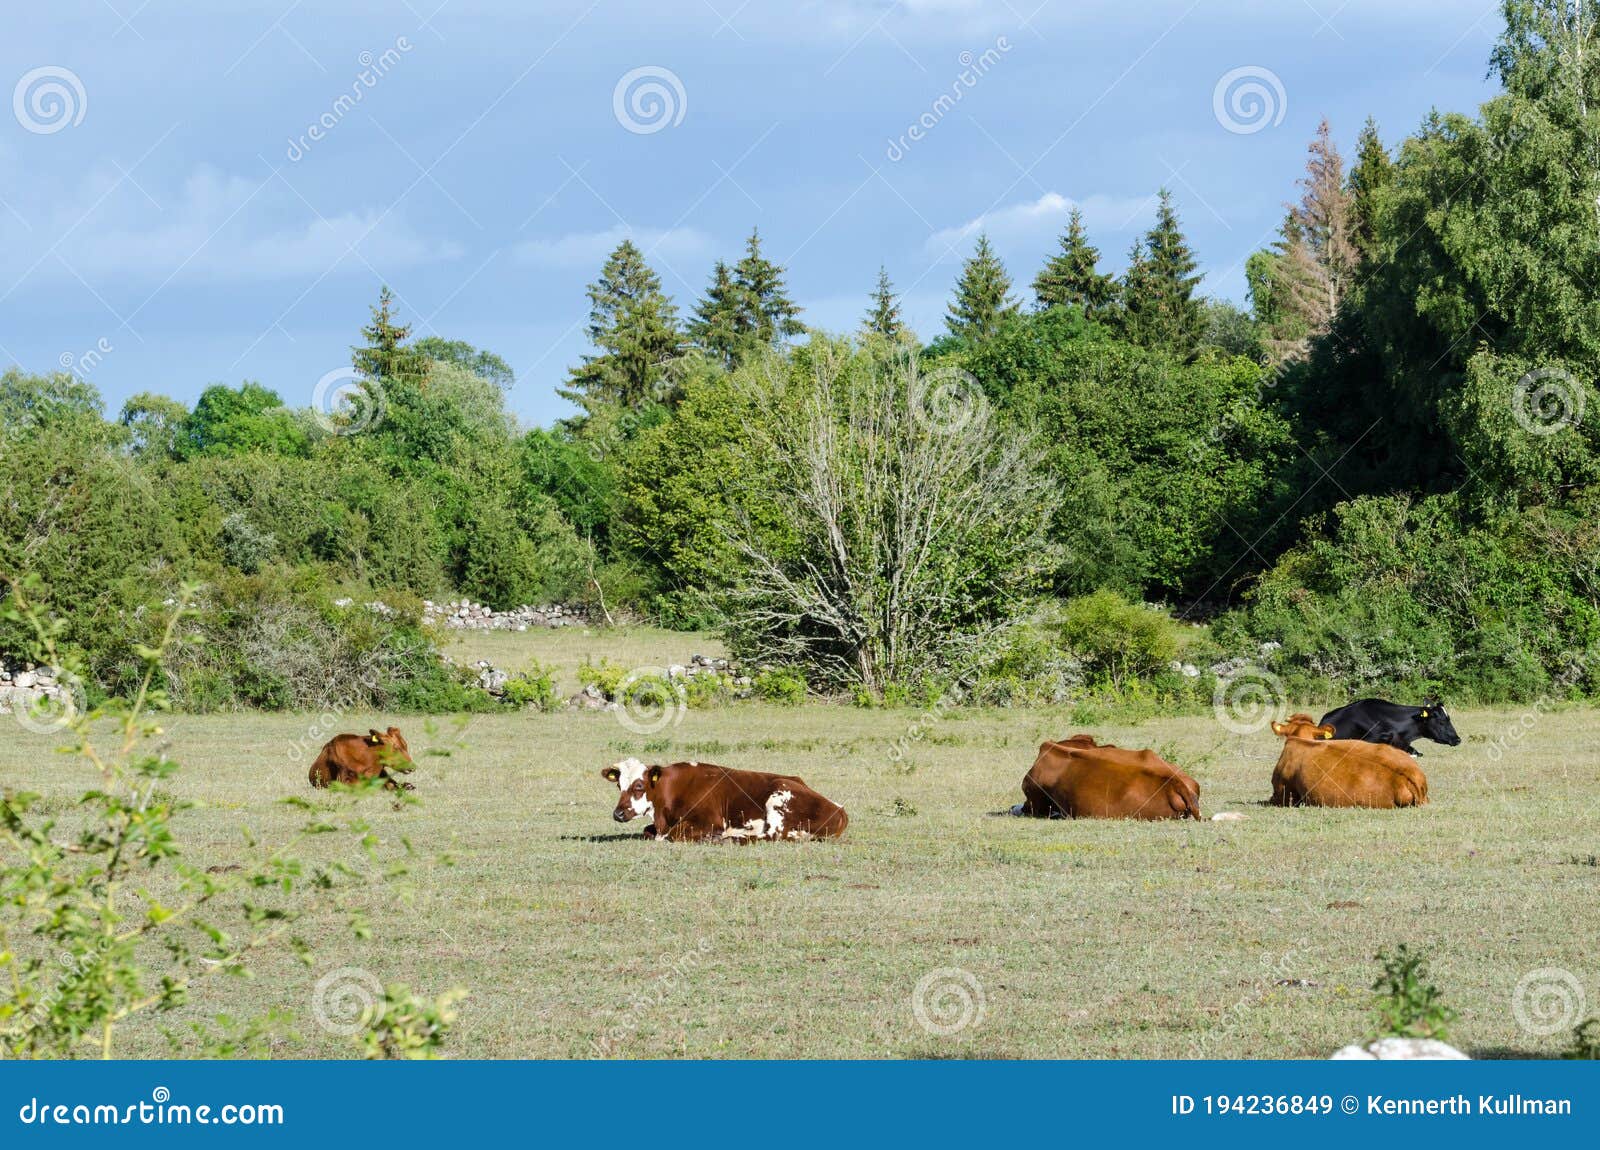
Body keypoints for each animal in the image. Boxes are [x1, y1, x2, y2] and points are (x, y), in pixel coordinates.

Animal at [603, 759, 848, 843]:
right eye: (618, 785)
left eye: (639, 786)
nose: (618, 813)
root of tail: (839, 809)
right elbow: (647, 830)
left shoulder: (710, 821)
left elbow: (676, 834)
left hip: (779, 794)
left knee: (770, 836)